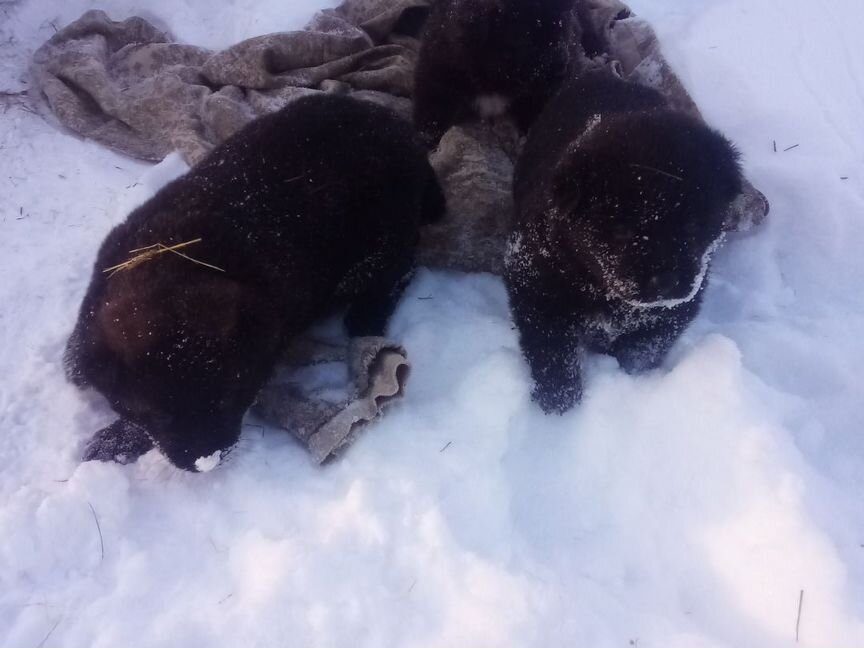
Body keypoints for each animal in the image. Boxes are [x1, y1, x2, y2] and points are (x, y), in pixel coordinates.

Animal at [66, 93, 446, 470]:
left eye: (226, 396)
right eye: (156, 415)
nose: (205, 461)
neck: (178, 259)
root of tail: (405, 134)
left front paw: (119, 438)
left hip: (380, 243)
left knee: (400, 268)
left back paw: (366, 317)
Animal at [414, 0, 576, 143]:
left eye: (564, 31)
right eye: (527, 41)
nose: (562, 68)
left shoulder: (537, 96)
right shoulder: (438, 70)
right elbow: (433, 106)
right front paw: (427, 137)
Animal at [506, 73, 744, 412]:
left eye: (693, 225)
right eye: (620, 230)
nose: (666, 281)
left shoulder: (671, 313)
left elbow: (639, 352)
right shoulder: (534, 286)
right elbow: (552, 350)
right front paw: (558, 405)